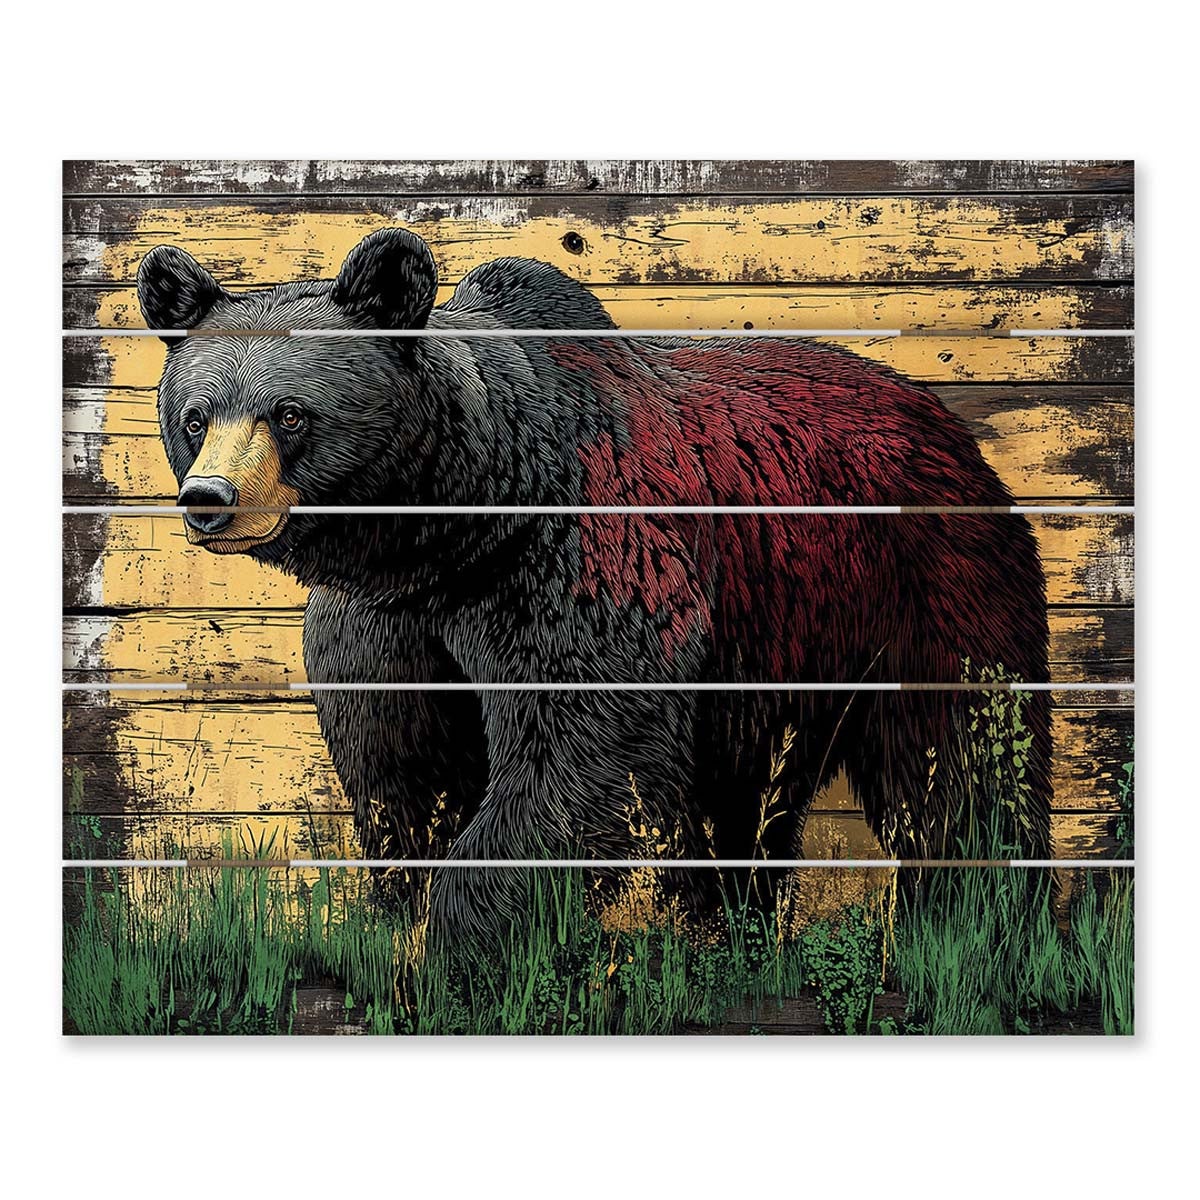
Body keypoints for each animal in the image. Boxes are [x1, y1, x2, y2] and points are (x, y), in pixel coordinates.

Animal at [138, 227, 1053, 945]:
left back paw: (978, 915)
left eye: (289, 413)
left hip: (920, 576)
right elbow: (403, 764)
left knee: (960, 754)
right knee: (746, 800)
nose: (210, 499)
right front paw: (405, 911)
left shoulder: (576, 563)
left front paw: (472, 934)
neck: (451, 529)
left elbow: (577, 747)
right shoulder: (388, 621)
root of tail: (943, 419)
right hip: (778, 635)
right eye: (196, 416)